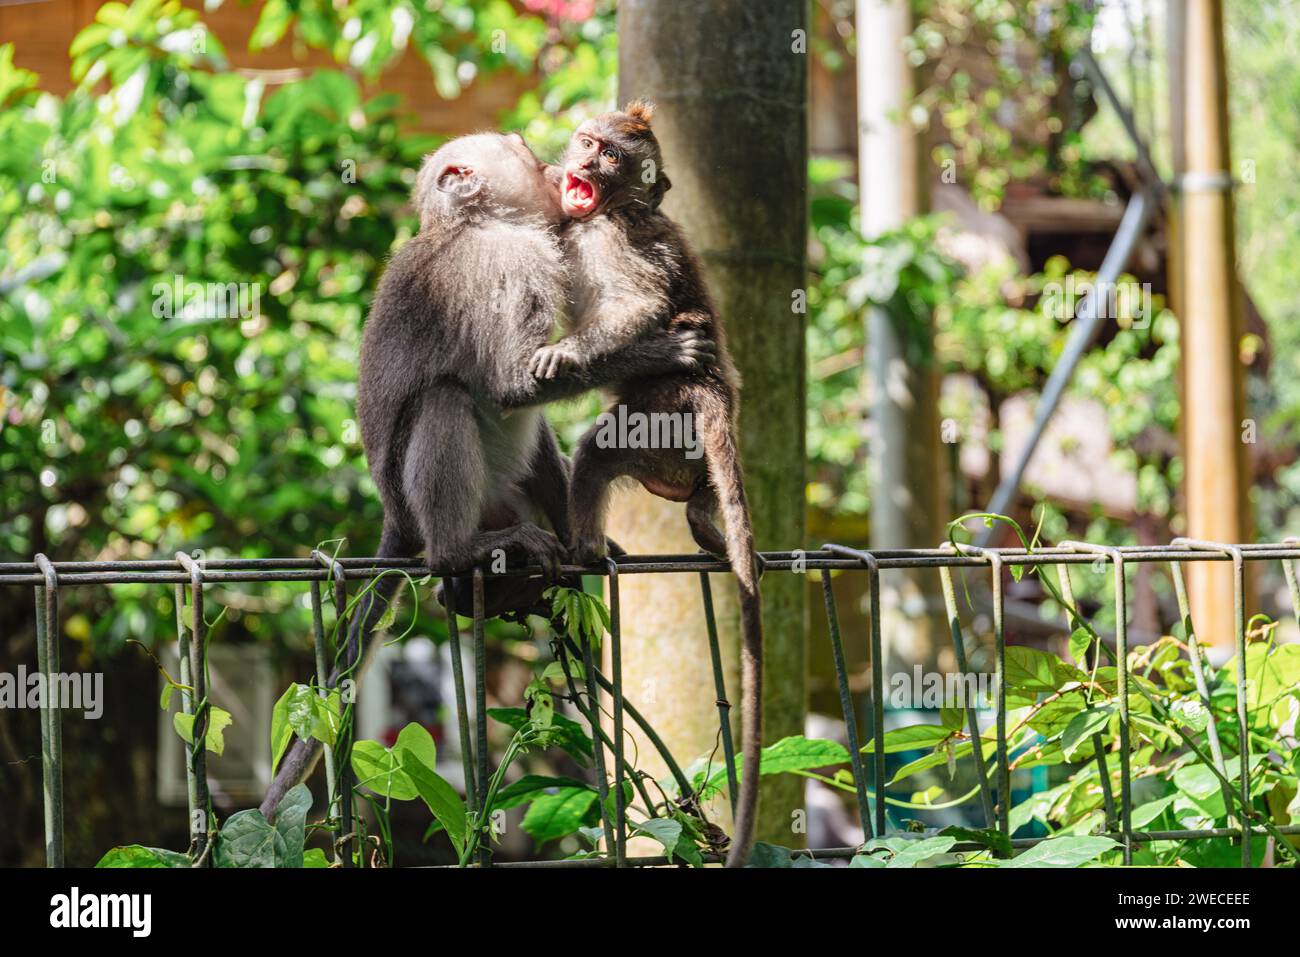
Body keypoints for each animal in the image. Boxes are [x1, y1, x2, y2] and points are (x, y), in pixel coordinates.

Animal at [260, 131, 715, 819]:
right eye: (520, 147)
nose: (546, 157)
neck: (480, 223)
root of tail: (396, 517)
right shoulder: (505, 264)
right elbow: (511, 383)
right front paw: (659, 351)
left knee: (533, 445)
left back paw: (564, 543)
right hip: (426, 501)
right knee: (445, 402)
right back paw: (458, 552)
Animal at [531, 102, 764, 868]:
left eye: (607, 154)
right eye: (585, 142)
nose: (580, 160)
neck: (614, 208)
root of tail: (712, 391)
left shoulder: (616, 239)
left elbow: (634, 309)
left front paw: (569, 350)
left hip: (658, 416)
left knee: (596, 454)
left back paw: (583, 544)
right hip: (676, 449)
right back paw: (701, 522)